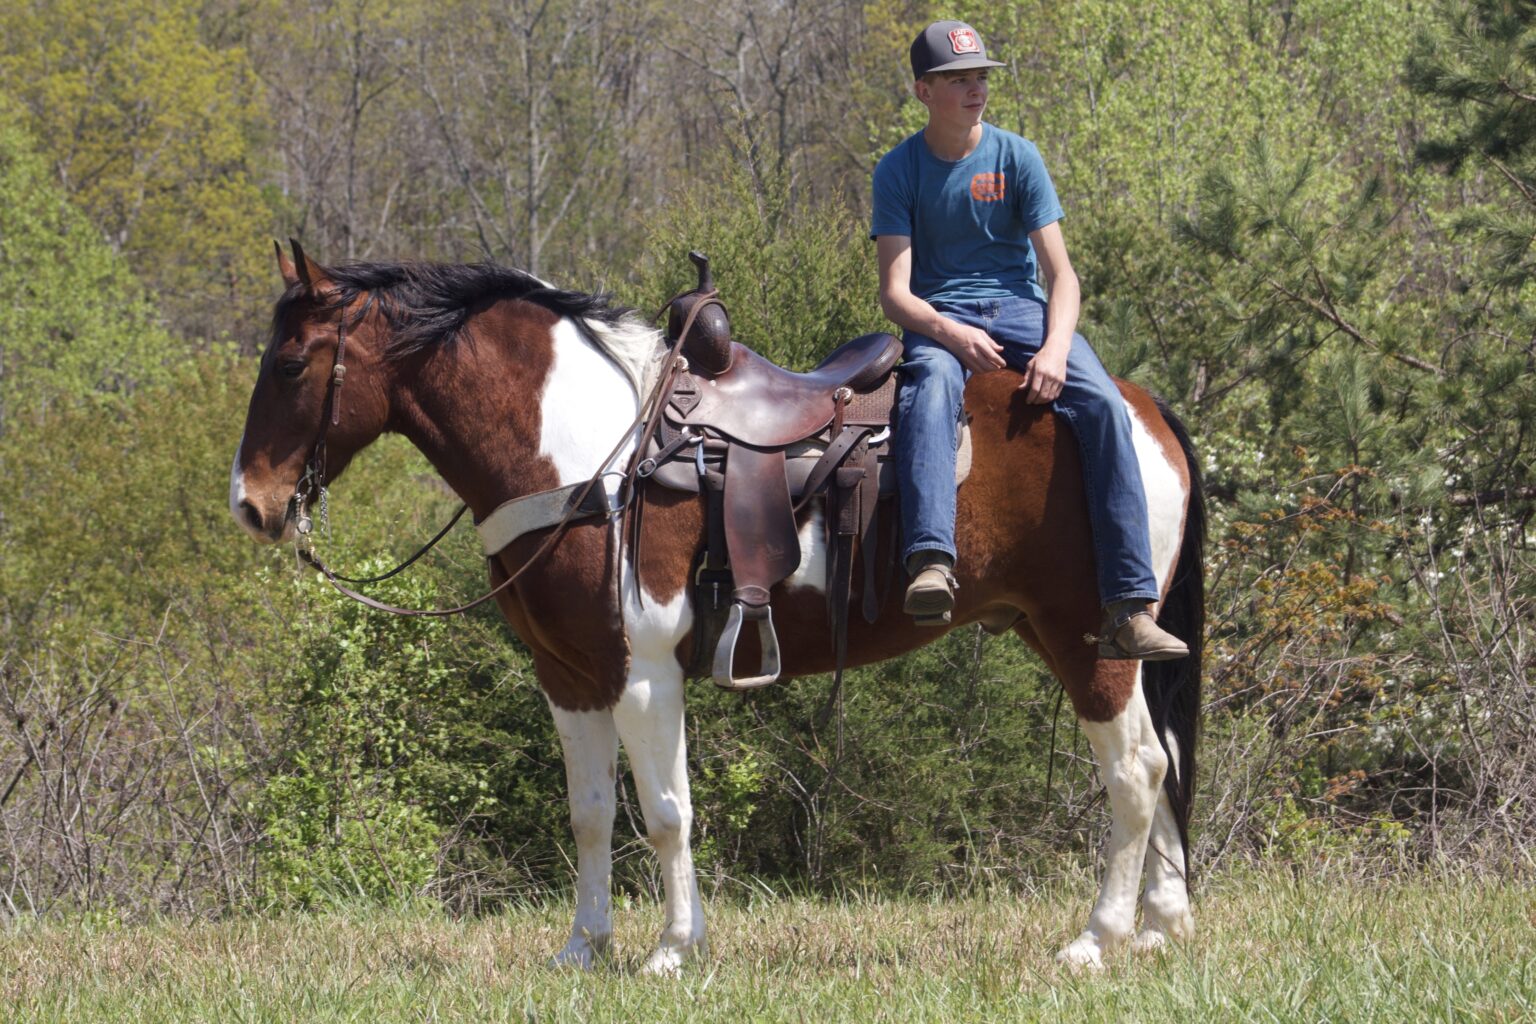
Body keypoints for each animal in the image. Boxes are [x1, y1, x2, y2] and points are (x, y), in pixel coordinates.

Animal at [230, 241, 1204, 973]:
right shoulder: (570, 677)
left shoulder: (644, 674)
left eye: (291, 363)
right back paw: (1159, 927)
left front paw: (671, 949)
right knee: (1160, 761)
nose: (251, 504)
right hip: (1093, 638)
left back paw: (1096, 939)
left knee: (1134, 771)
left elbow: (667, 812)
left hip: (1087, 641)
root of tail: (1137, 408)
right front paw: (583, 949)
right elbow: (591, 813)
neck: (585, 453)